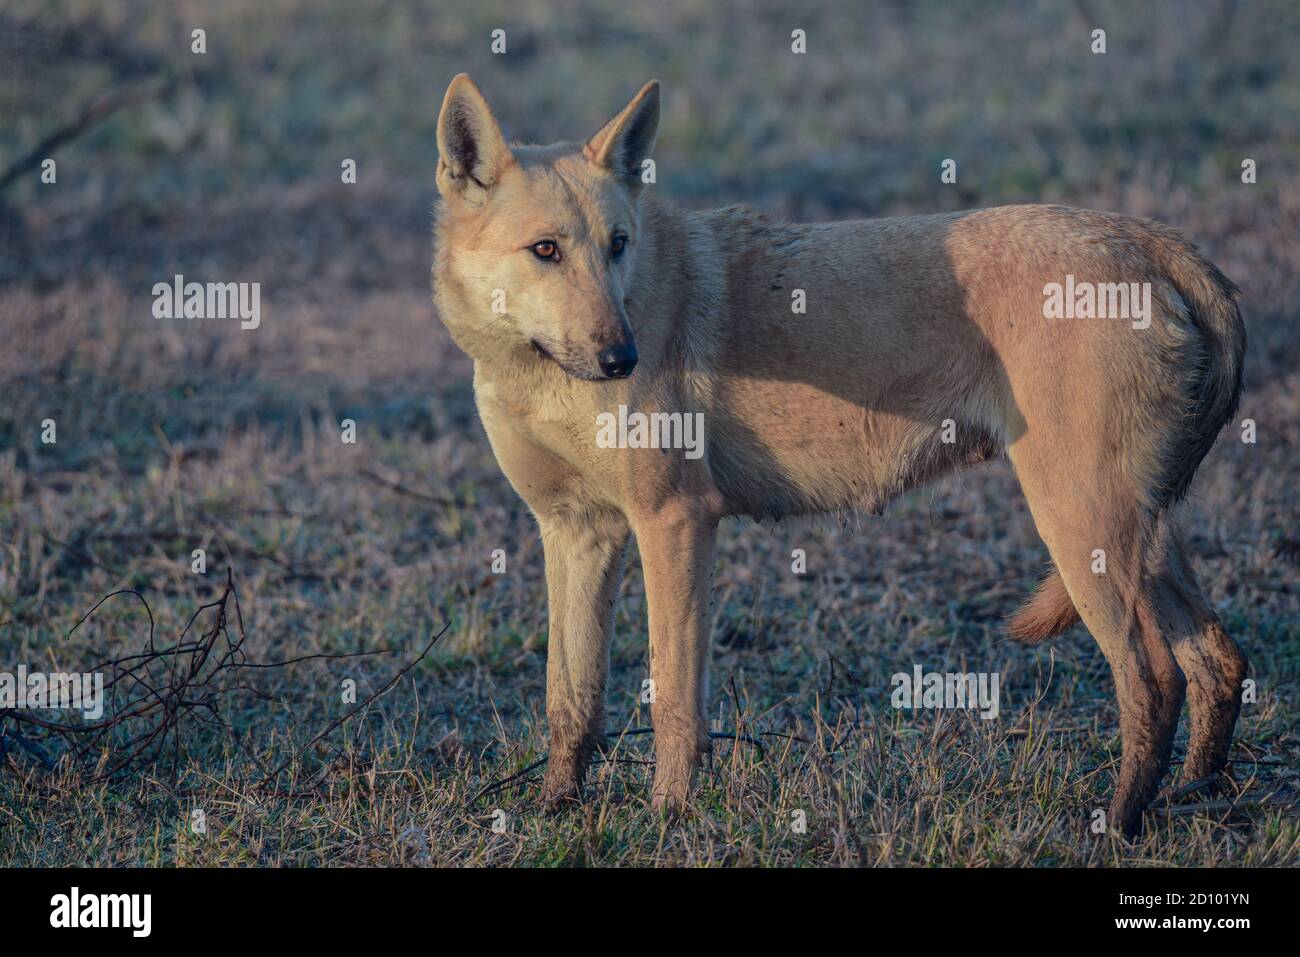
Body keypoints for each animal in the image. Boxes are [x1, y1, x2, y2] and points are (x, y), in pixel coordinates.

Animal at [431, 74, 1247, 837]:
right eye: (545, 250)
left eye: (618, 245)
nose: (620, 358)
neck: (538, 371)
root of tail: (1152, 241)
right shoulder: (576, 533)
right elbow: (569, 698)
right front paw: (554, 808)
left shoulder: (675, 523)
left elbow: (674, 703)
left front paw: (669, 817)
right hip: (1133, 534)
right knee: (1218, 659)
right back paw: (1191, 794)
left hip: (1081, 530)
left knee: (1154, 679)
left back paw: (1119, 819)